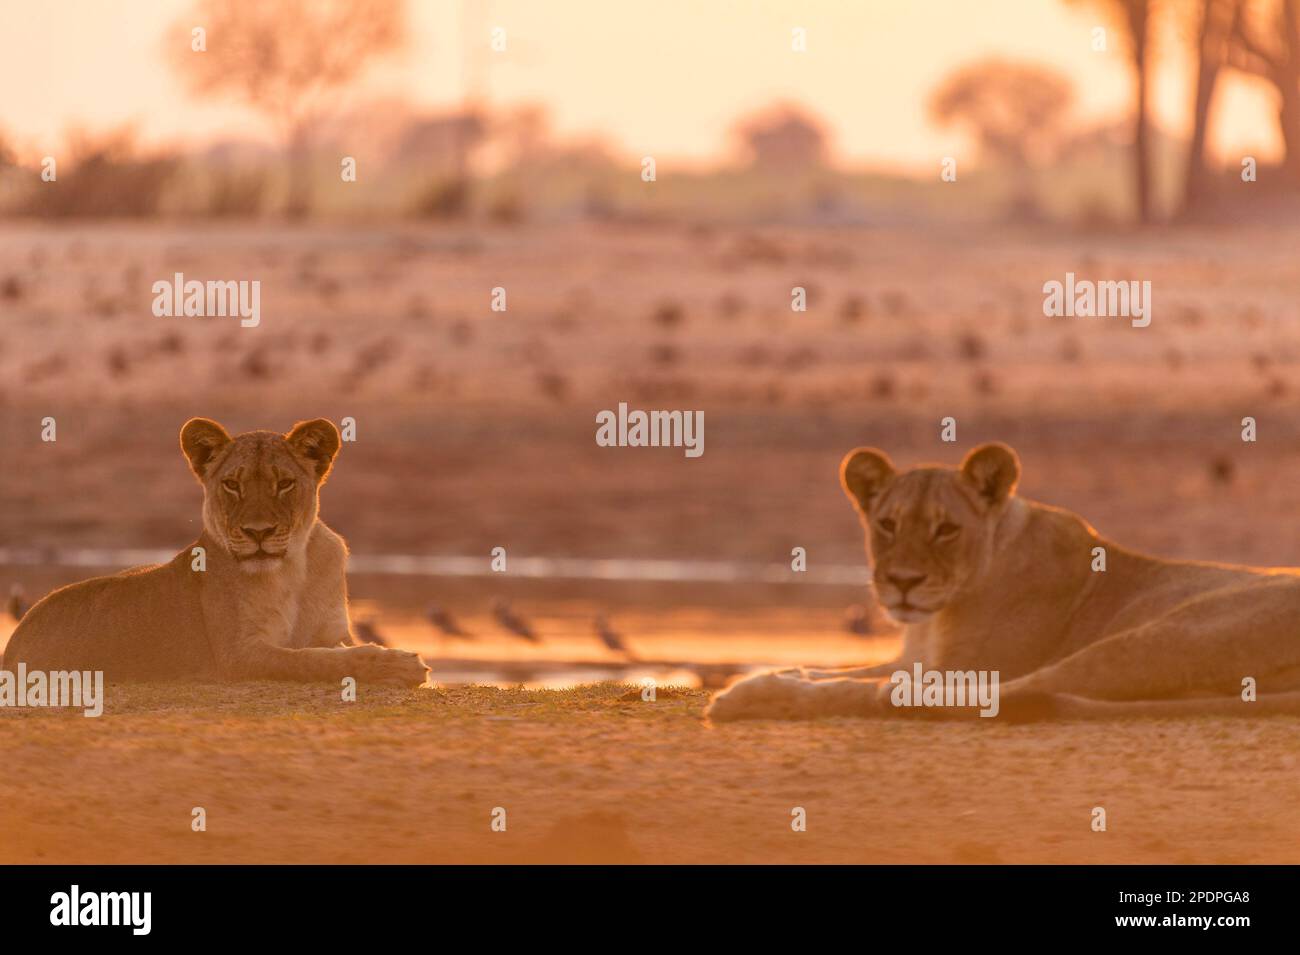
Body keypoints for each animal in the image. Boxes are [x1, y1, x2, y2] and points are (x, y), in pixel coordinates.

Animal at [2, 418, 429, 688]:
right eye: (232, 485)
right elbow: (313, 660)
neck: (292, 569)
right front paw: (397, 664)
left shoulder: (333, 632)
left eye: (285, 484)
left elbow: (334, 650)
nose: (259, 532)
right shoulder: (239, 654)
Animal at [707, 442, 1300, 722]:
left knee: (999, 693)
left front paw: (773, 683)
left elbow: (878, 682)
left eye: (946, 528)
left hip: (1164, 635)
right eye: (887, 524)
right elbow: (845, 667)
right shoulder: (916, 658)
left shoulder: (960, 664)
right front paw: (791, 667)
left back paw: (752, 697)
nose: (902, 582)